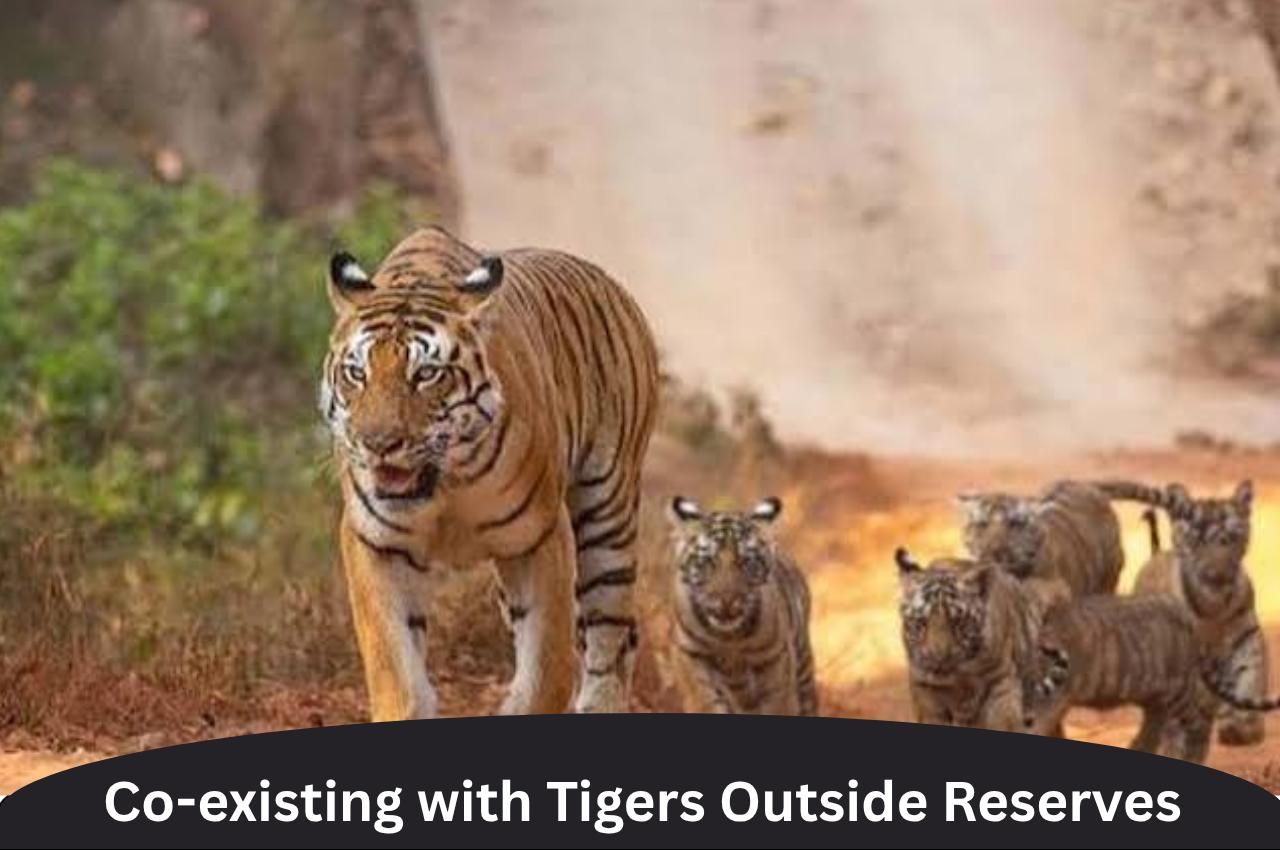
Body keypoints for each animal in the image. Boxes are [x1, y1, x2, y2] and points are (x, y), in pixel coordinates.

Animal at [320, 225, 659, 719]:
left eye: (426, 374)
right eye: (355, 374)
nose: (378, 444)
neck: (445, 486)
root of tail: (611, 284)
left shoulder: (540, 536)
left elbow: (546, 671)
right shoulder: (376, 541)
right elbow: (396, 670)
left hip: (607, 517)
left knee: (608, 641)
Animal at [668, 496, 818, 716]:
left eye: (746, 563)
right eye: (707, 562)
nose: (726, 600)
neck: (728, 638)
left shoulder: (774, 659)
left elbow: (778, 704)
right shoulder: (691, 653)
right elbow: (704, 699)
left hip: (803, 663)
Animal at [895, 548, 1065, 733]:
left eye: (958, 623)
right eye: (921, 623)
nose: (939, 657)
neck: (958, 678)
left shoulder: (1000, 681)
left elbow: (1004, 718)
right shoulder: (925, 688)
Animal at [1022, 593, 1280, 763]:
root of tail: (1184, 613)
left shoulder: (1050, 701)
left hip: (1180, 692)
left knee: (1198, 721)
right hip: (1157, 696)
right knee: (1158, 728)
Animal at [1092, 479, 1267, 746]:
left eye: (1231, 537)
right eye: (1194, 539)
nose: (1216, 575)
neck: (1213, 608)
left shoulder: (1247, 637)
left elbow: (1251, 676)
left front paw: (1244, 727)